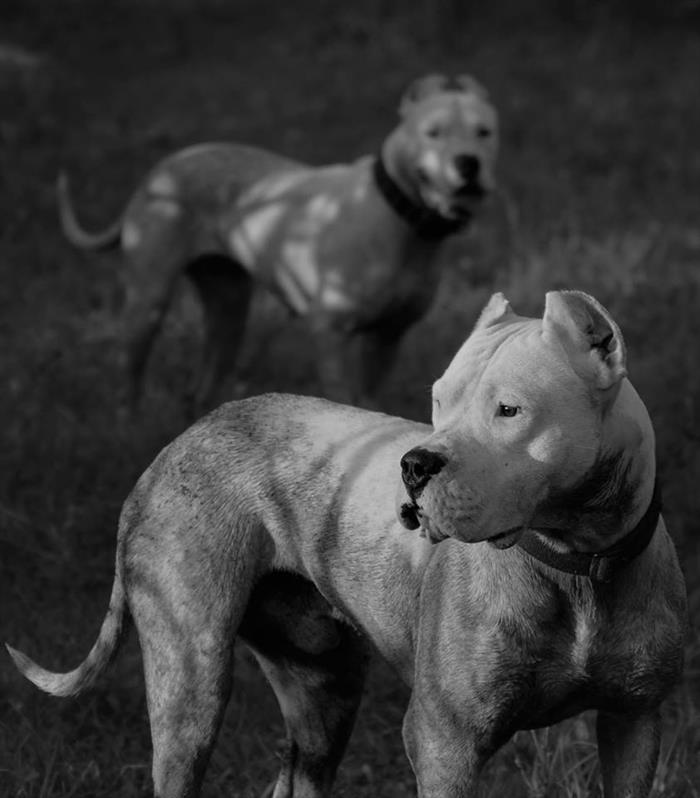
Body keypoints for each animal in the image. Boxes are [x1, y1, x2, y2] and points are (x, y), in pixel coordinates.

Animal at [5, 290, 688, 796]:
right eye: (438, 401)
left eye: (509, 410)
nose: (414, 465)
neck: (574, 564)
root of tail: (176, 444)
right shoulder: (445, 745)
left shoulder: (633, 725)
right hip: (189, 689)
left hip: (323, 698)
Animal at [58, 73, 498, 412]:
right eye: (433, 133)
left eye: (484, 133)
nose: (468, 162)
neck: (403, 223)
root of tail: (160, 170)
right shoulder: (331, 333)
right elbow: (346, 398)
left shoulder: (388, 338)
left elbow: (372, 400)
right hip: (147, 302)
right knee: (129, 376)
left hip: (229, 308)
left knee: (203, 386)